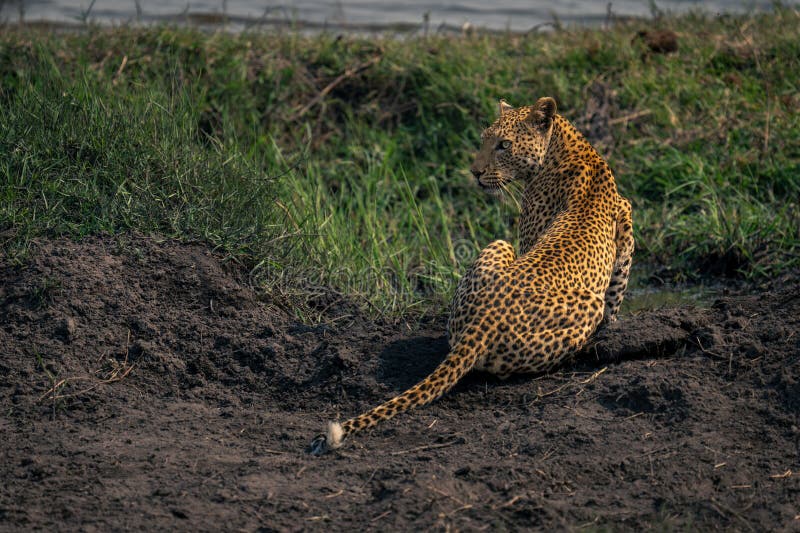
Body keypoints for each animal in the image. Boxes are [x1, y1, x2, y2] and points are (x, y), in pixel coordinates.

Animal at [309, 96, 634, 455]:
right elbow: (619, 283)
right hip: (507, 249)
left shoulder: (621, 220)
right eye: (483, 140)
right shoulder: (623, 223)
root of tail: (485, 320)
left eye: (504, 145)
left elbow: (618, 286)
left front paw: (613, 324)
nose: (475, 172)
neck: (568, 146)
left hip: (508, 253)